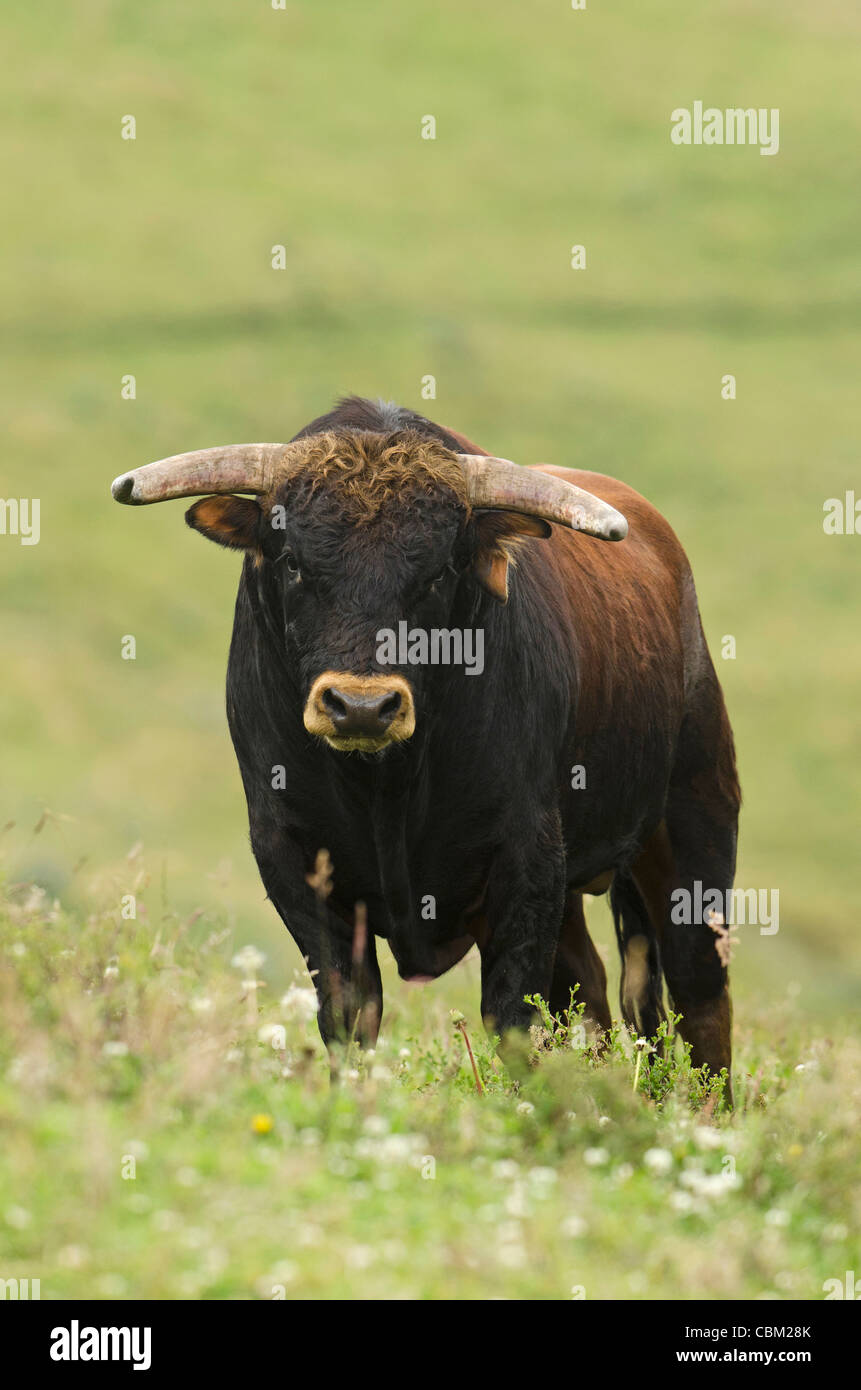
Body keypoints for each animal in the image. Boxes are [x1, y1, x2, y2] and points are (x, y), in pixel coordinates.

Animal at [112, 396, 740, 1095]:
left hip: (694, 824)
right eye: (293, 560)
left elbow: (512, 1015)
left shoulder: (527, 854)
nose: (361, 705)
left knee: (699, 993)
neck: (385, 787)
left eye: (438, 571)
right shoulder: (290, 856)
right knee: (592, 986)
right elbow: (350, 1013)